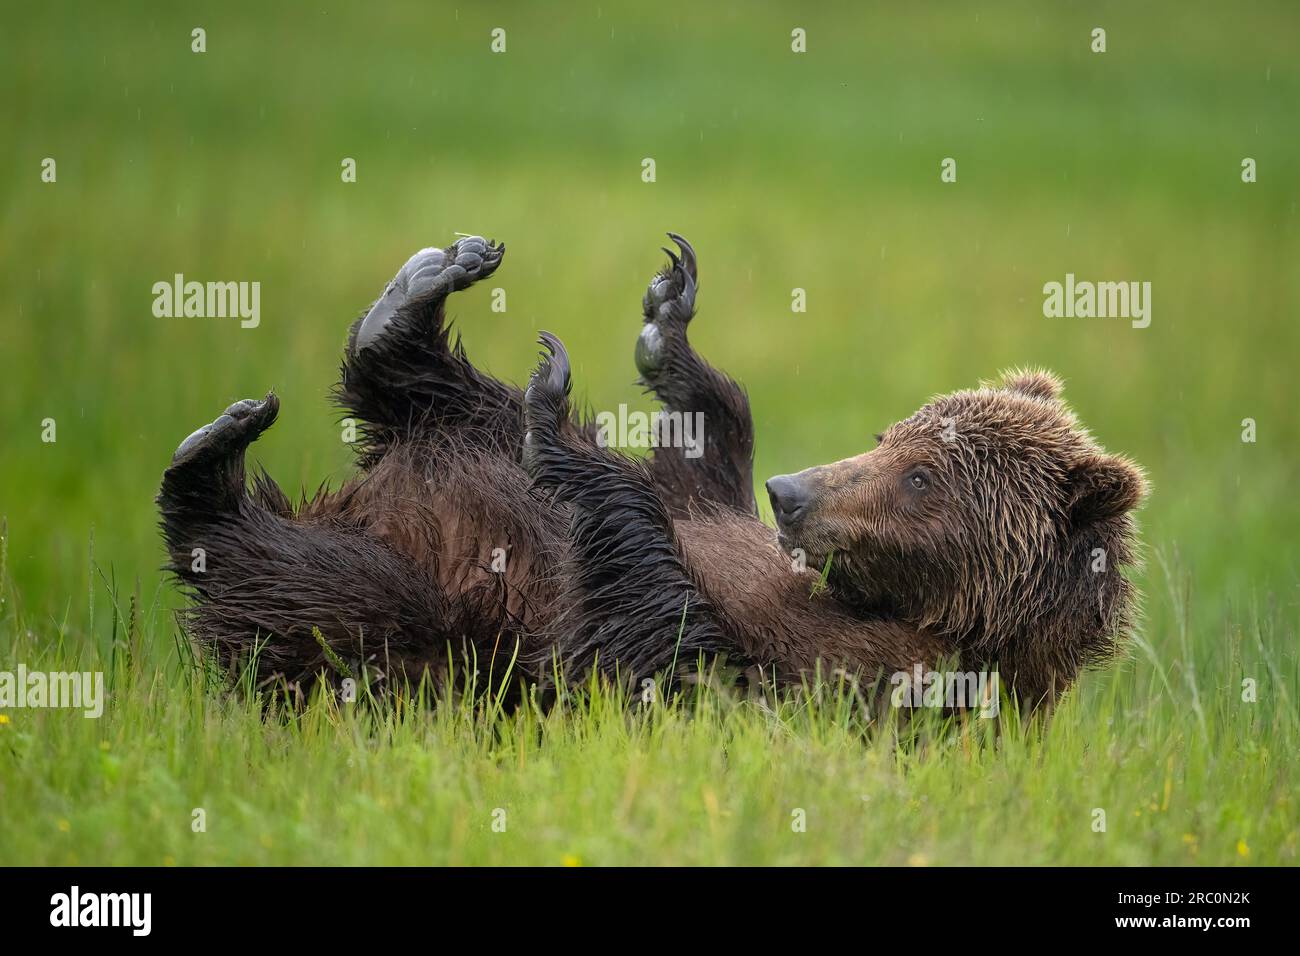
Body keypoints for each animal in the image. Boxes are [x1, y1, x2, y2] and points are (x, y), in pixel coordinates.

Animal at [156, 233, 1148, 712]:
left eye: (921, 480)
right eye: (890, 436)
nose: (791, 494)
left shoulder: (853, 683)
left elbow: (666, 646)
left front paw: (556, 419)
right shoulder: (725, 516)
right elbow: (702, 458)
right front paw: (668, 325)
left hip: (439, 626)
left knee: (311, 594)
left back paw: (210, 475)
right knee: (435, 417)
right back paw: (409, 305)